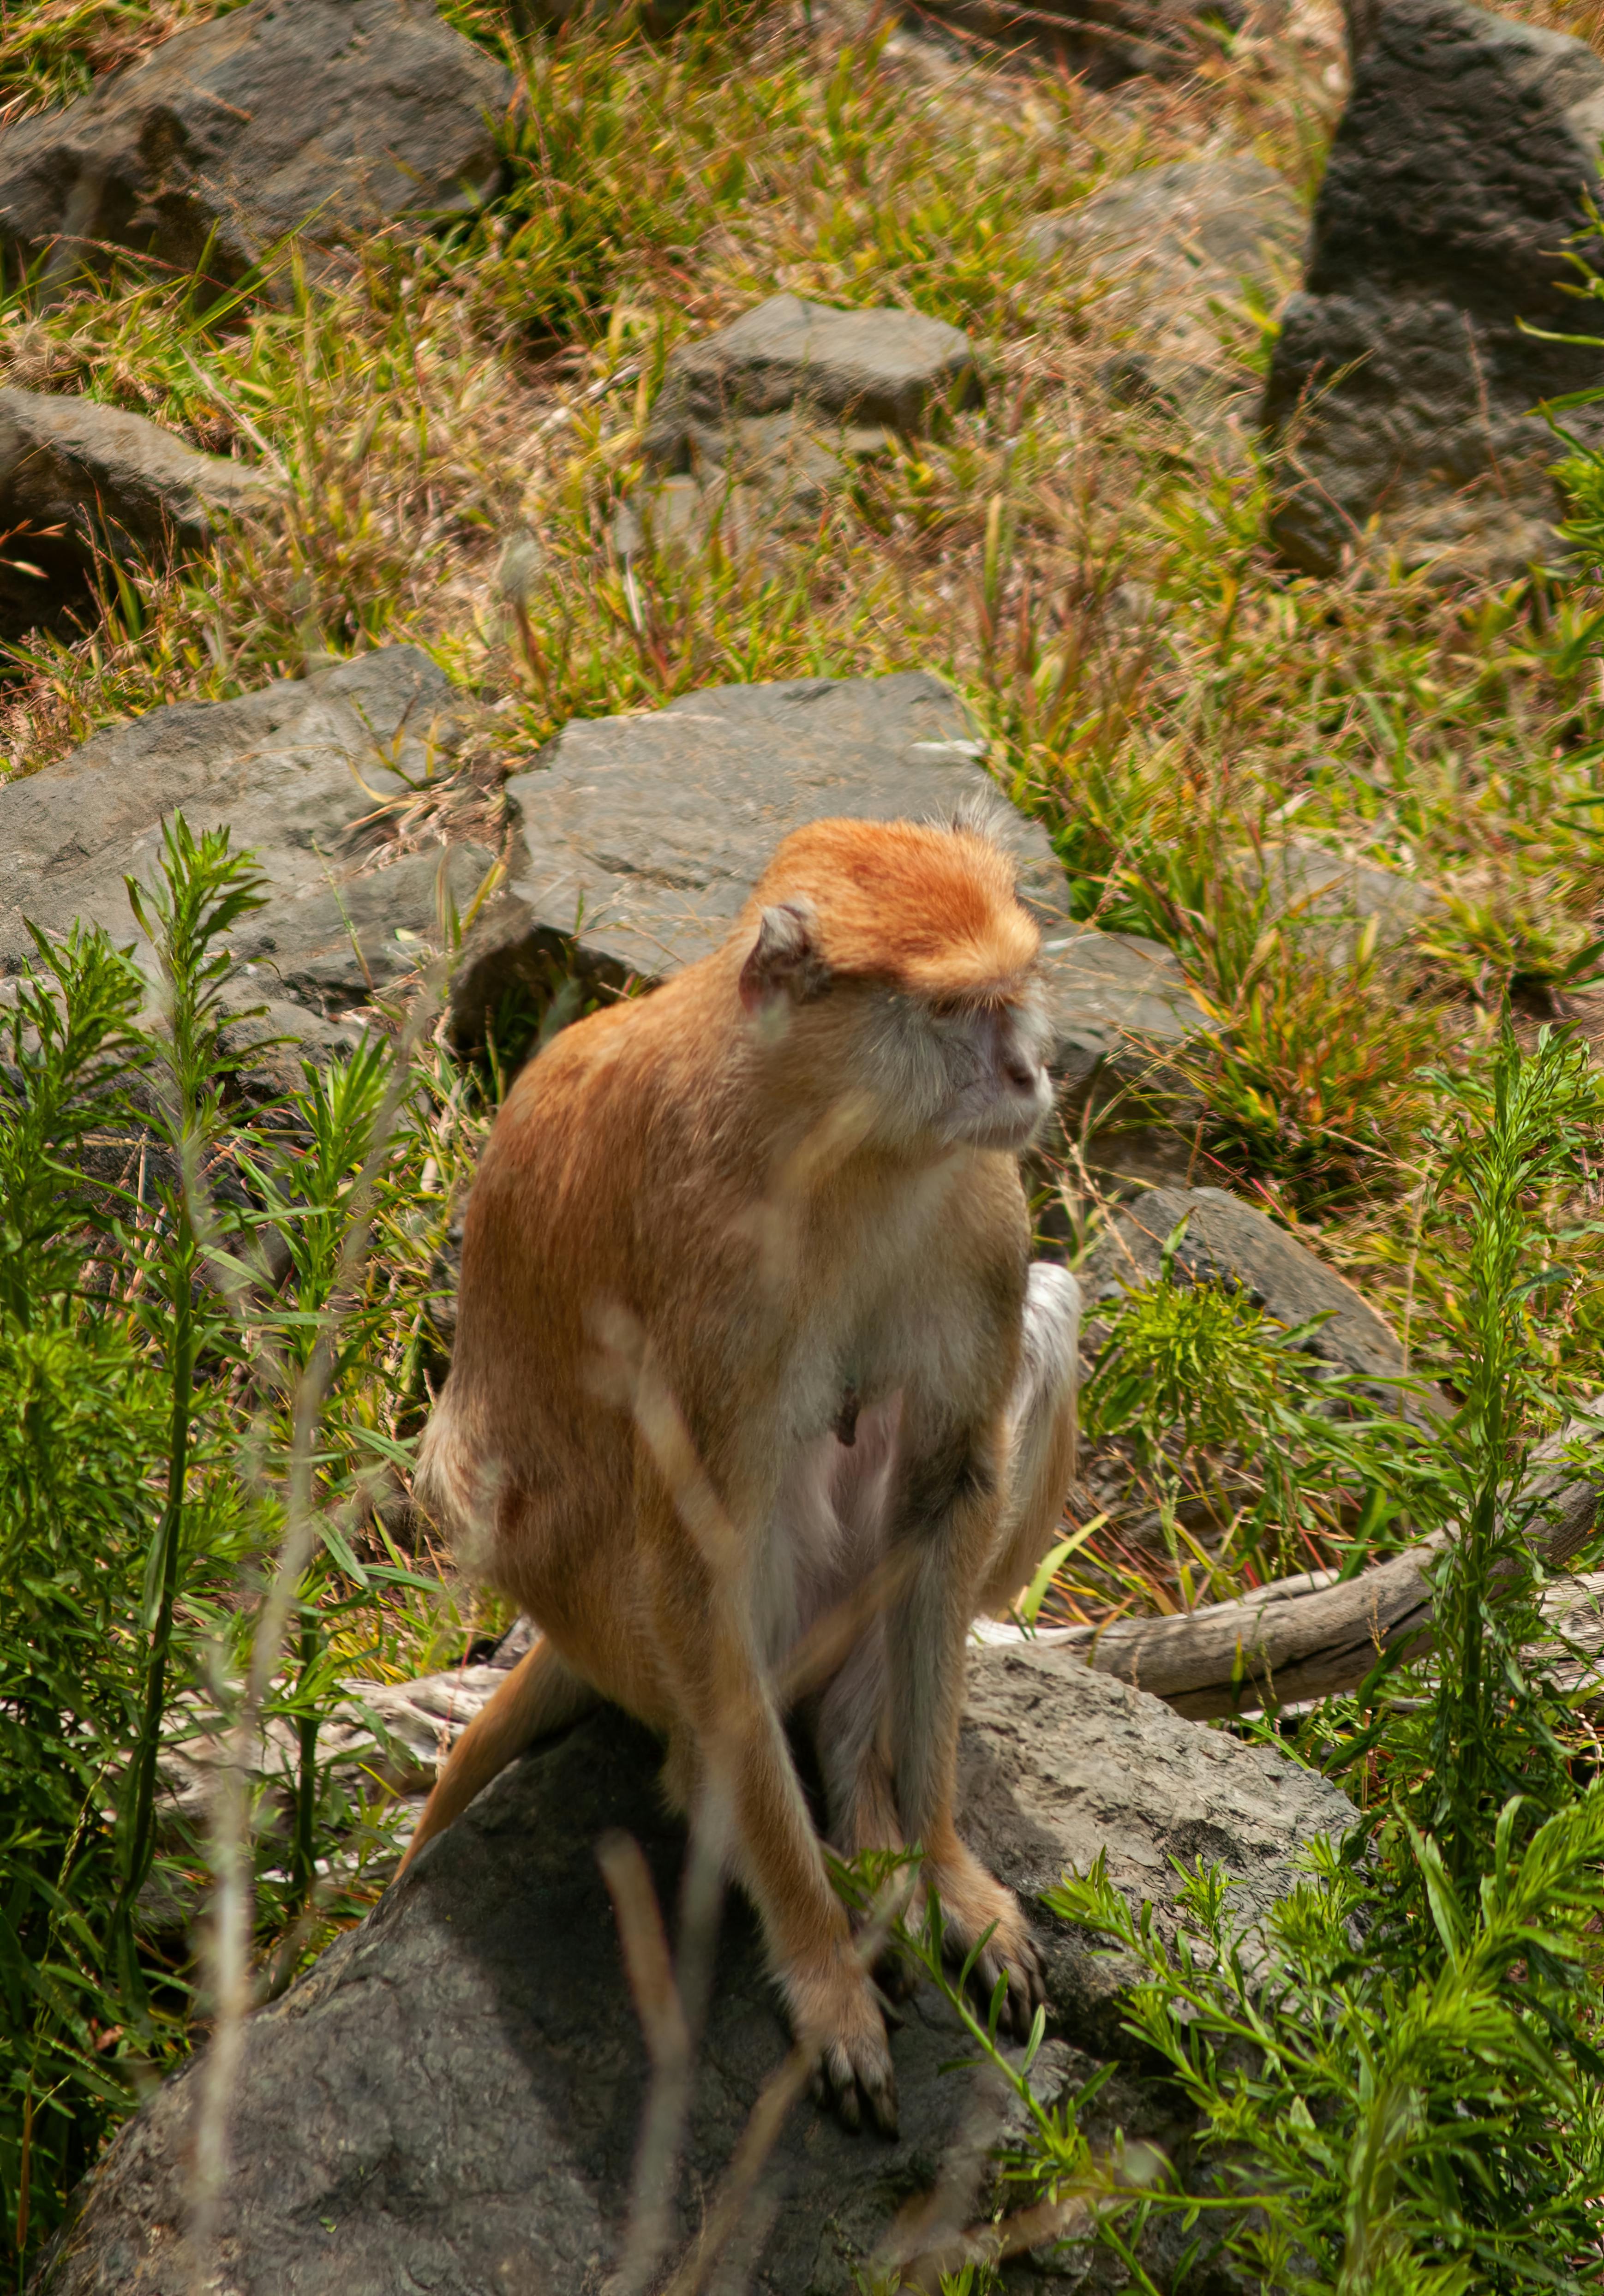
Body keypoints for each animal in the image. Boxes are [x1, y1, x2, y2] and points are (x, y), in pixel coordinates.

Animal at [397, 811, 1082, 2137]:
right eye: (950, 1012)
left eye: (1014, 994)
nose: (1029, 1076)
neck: (836, 1136)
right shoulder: (717, 1289)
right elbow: (697, 1568)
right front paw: (821, 1971)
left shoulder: (979, 1207)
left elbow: (946, 1488)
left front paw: (940, 1867)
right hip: (618, 1627)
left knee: (1042, 1321)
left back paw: (865, 1793)